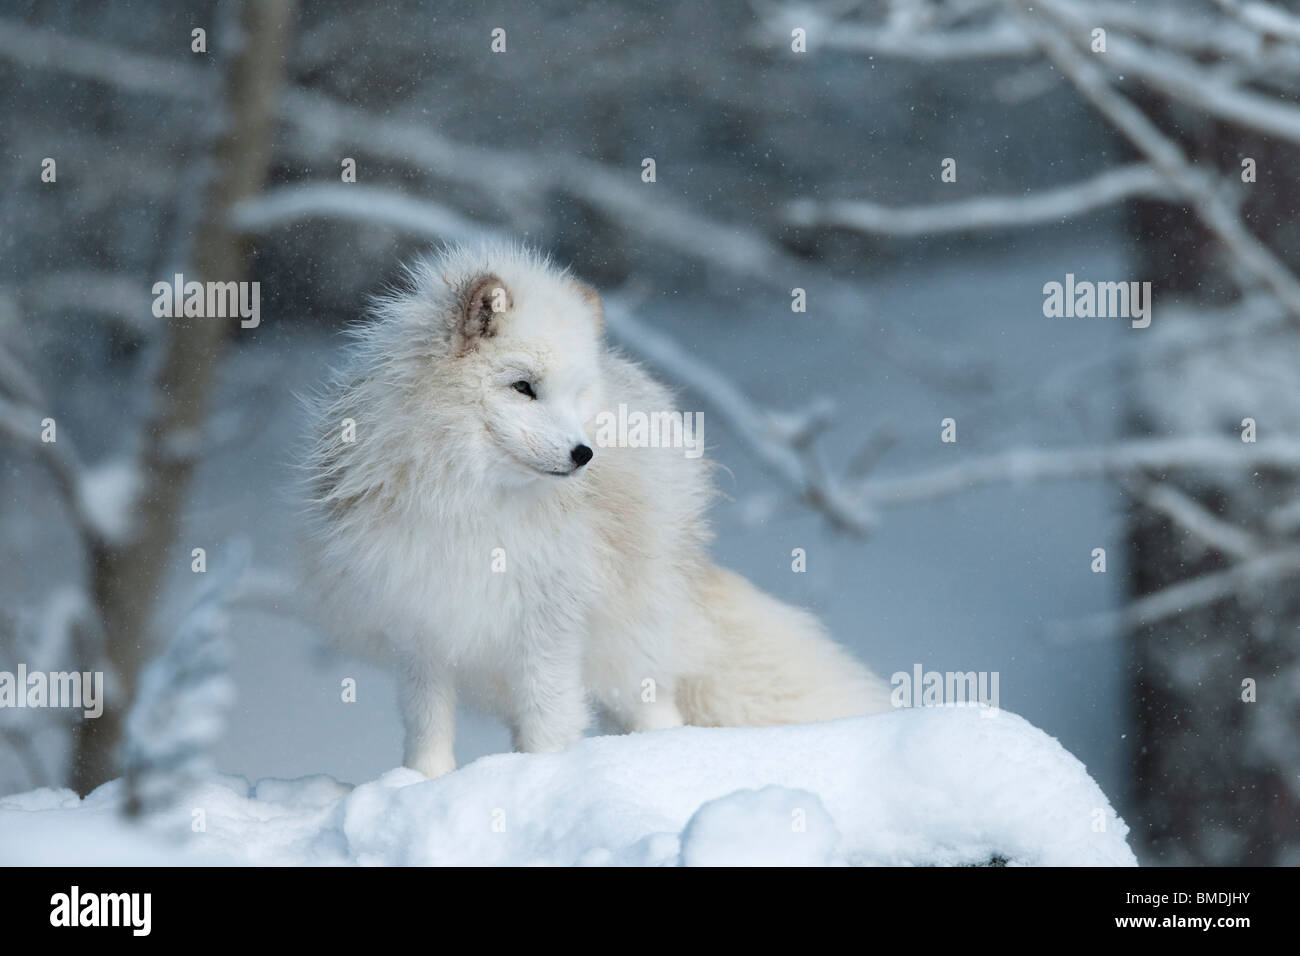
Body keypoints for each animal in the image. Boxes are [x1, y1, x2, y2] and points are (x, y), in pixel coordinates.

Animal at [304, 242, 892, 778]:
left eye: (576, 393)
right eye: (523, 387)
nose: (583, 453)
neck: (472, 503)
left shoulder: (550, 626)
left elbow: (550, 723)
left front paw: (542, 777)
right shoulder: (420, 625)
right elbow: (427, 727)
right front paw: (422, 783)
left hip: (629, 650)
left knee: (657, 711)